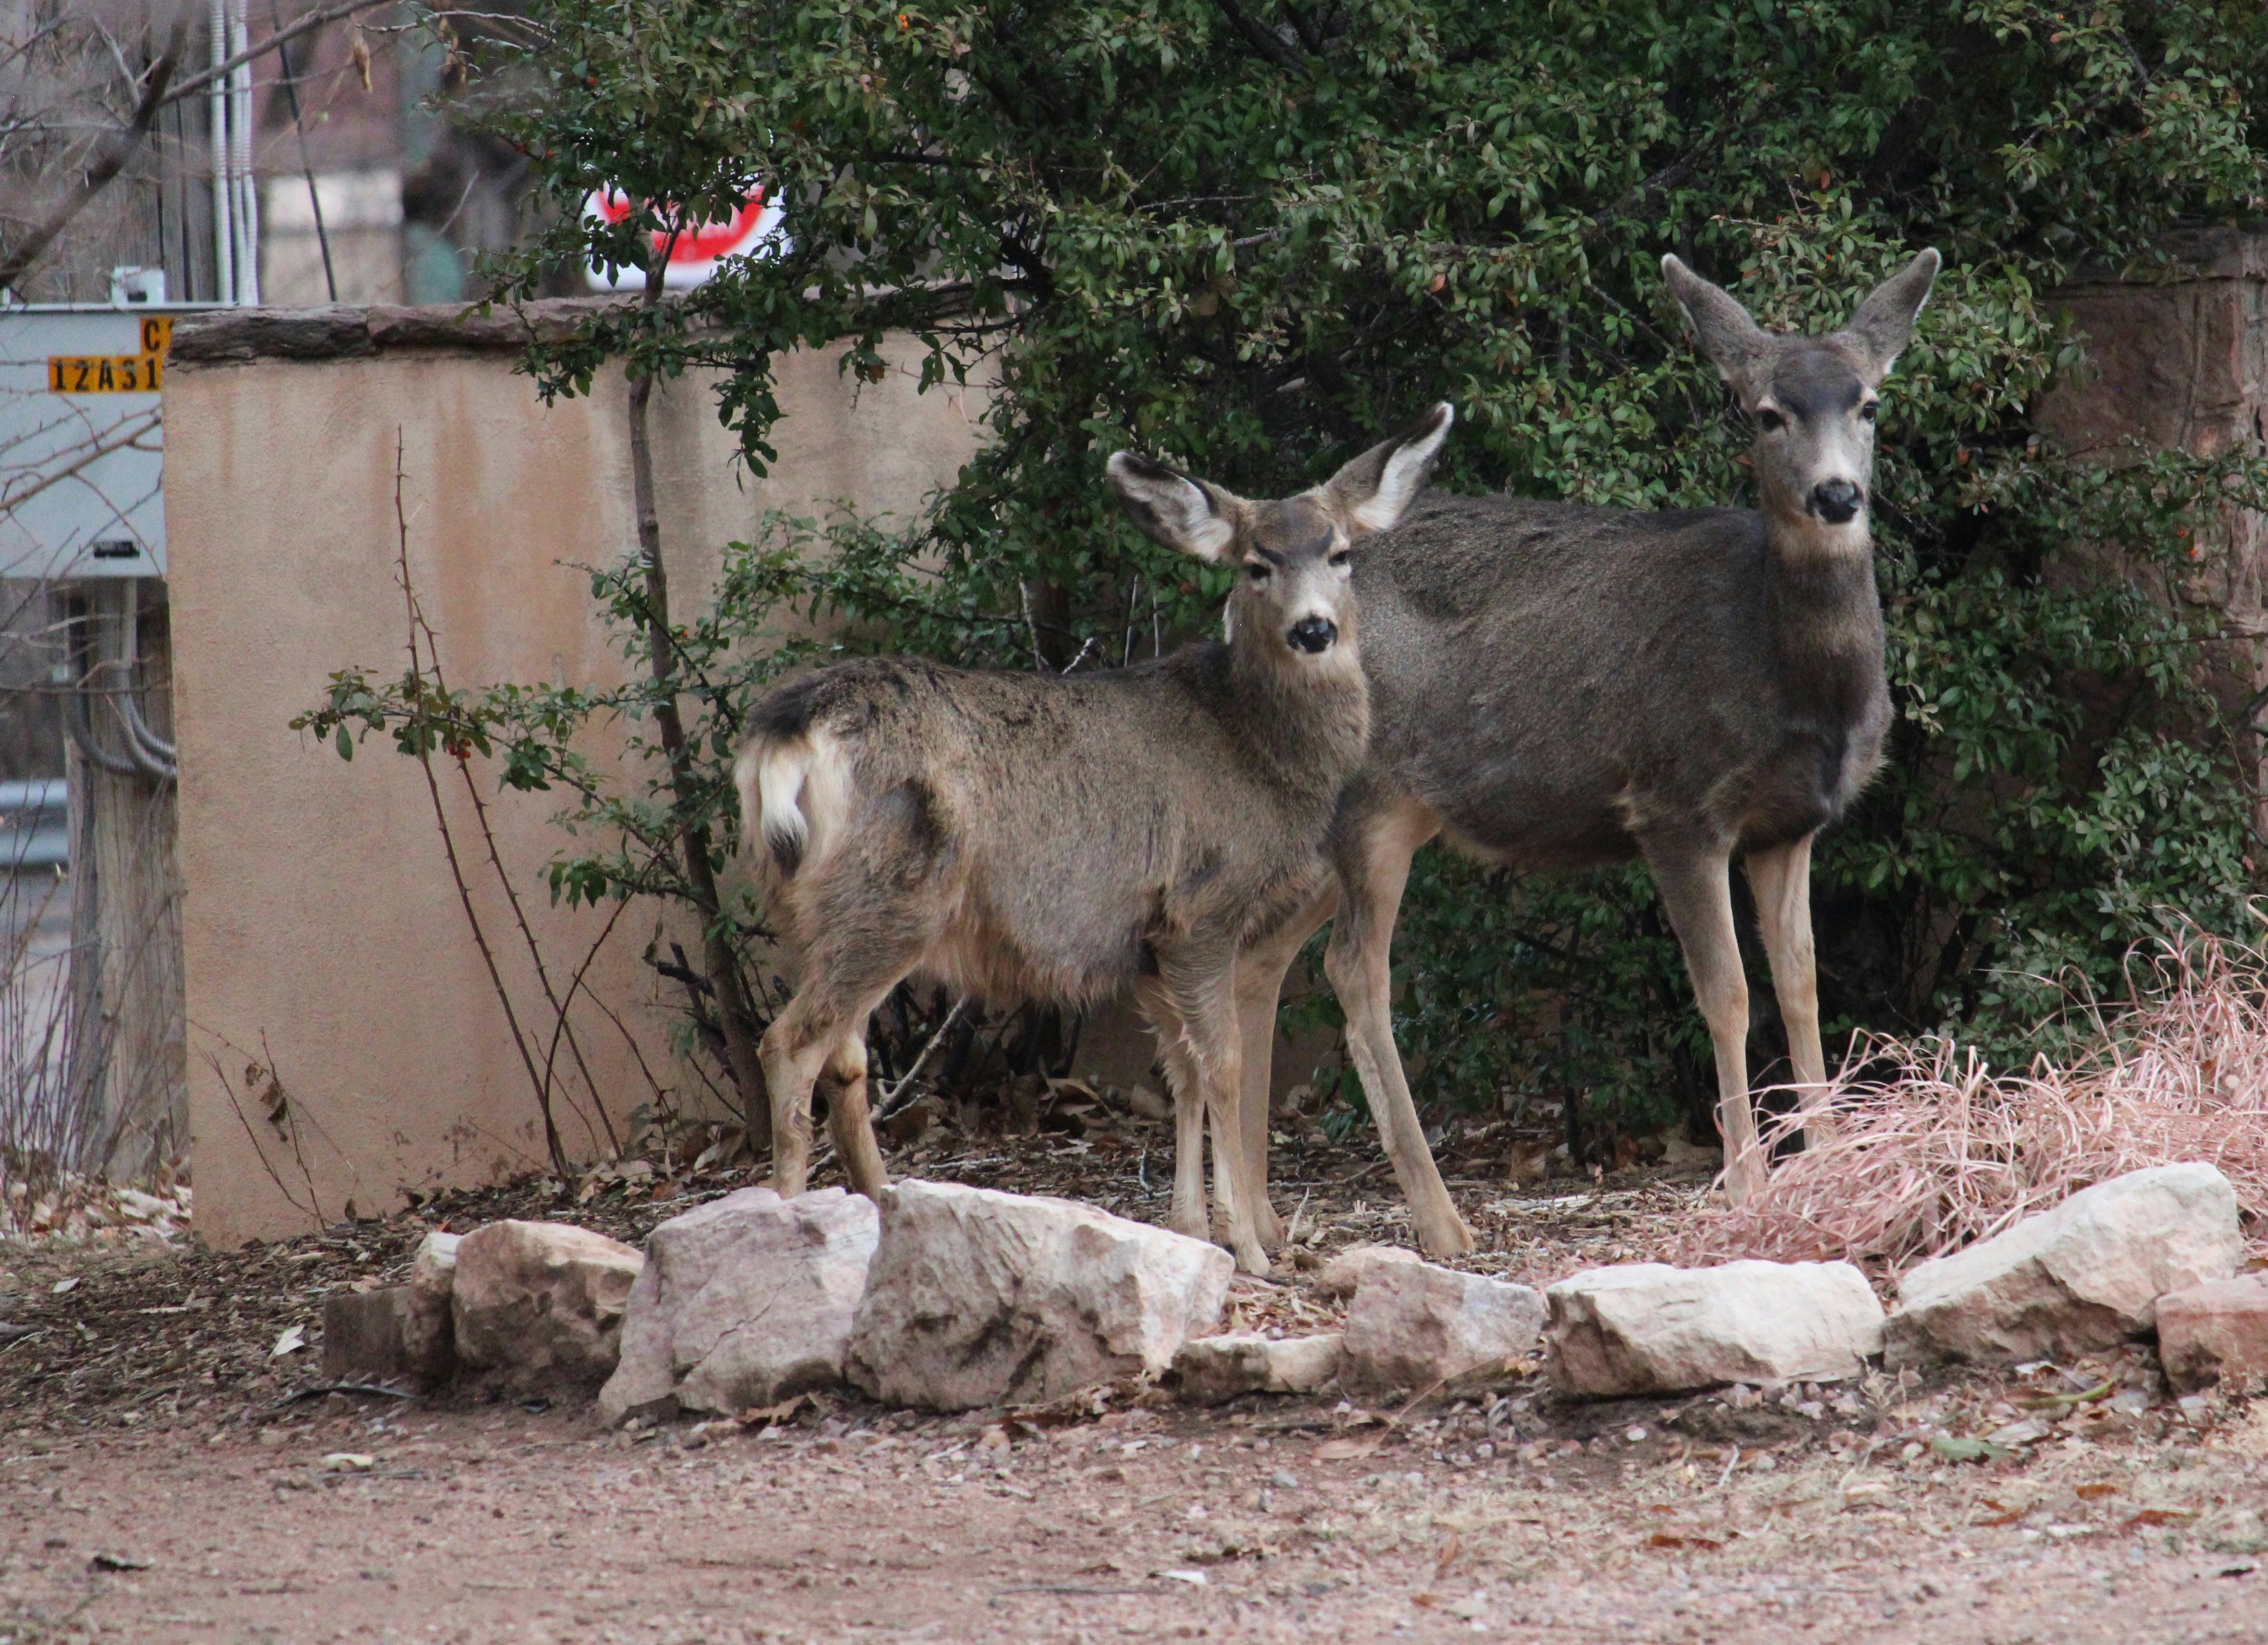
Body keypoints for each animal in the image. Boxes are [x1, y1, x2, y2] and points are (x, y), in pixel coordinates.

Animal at [733, 405, 1455, 1274]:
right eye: (1256, 564)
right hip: (890, 896)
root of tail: (785, 731)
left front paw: (1191, 1226)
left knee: (844, 1053)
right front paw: (1248, 1246)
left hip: (815, 906)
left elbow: (1181, 1072)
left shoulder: (1145, 942)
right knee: (790, 1043)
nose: (1313, 629)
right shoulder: (1203, 906)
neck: (1254, 747)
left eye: (1340, 553)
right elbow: (1225, 1065)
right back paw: (788, 1220)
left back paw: (881, 1206)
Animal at [1215, 250, 1941, 1260]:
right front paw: (1747, 1181)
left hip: (1340, 830)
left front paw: (1831, 1162)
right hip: (1372, 803)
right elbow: (1727, 993)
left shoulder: (1789, 825)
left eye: (1869, 401)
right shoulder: (1676, 806)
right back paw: (1437, 1218)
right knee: (1352, 970)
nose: (1838, 495)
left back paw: (1262, 1220)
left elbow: (1800, 986)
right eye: (1763, 411)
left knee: (1261, 958)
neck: (1787, 676)